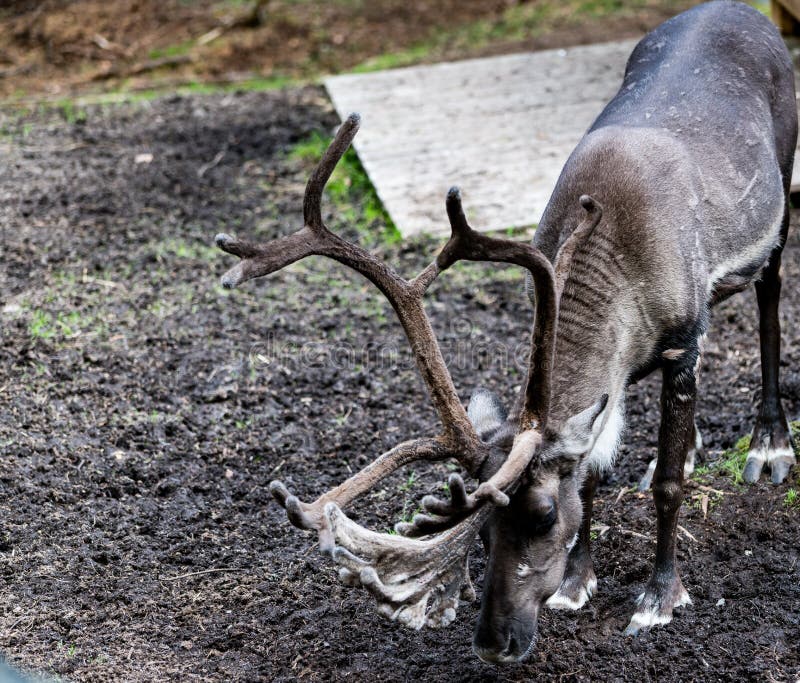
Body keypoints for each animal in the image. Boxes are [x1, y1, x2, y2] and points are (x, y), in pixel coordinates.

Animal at [214, 0, 797, 665]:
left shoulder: (679, 338)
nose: (494, 642)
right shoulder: (614, 372)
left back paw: (769, 444)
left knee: (771, 300)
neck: (613, 261)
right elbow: (592, 470)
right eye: (484, 527)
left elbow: (670, 488)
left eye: (542, 517)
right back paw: (694, 440)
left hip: (780, 198)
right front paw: (576, 583)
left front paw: (658, 599)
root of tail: (743, 11)